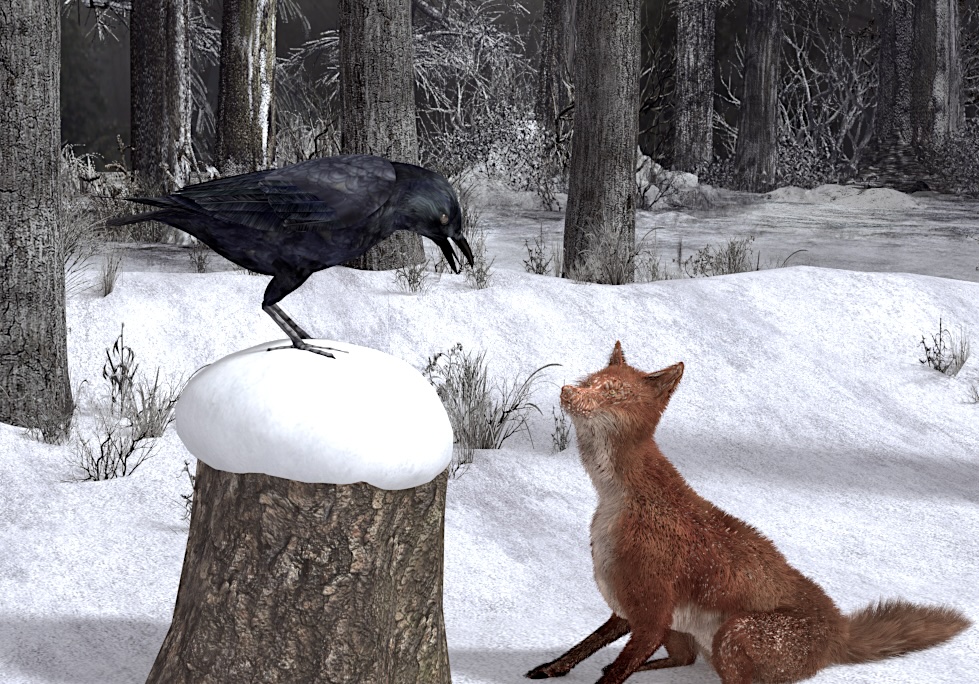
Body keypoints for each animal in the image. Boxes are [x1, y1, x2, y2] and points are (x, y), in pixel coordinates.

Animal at [526, 341, 971, 684]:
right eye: (589, 381)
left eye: (613, 391)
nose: (567, 391)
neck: (623, 503)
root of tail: (839, 631)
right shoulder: (629, 608)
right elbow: (586, 646)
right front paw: (552, 668)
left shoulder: (651, 613)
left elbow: (615, 670)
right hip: (688, 631)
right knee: (686, 658)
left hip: (733, 635)